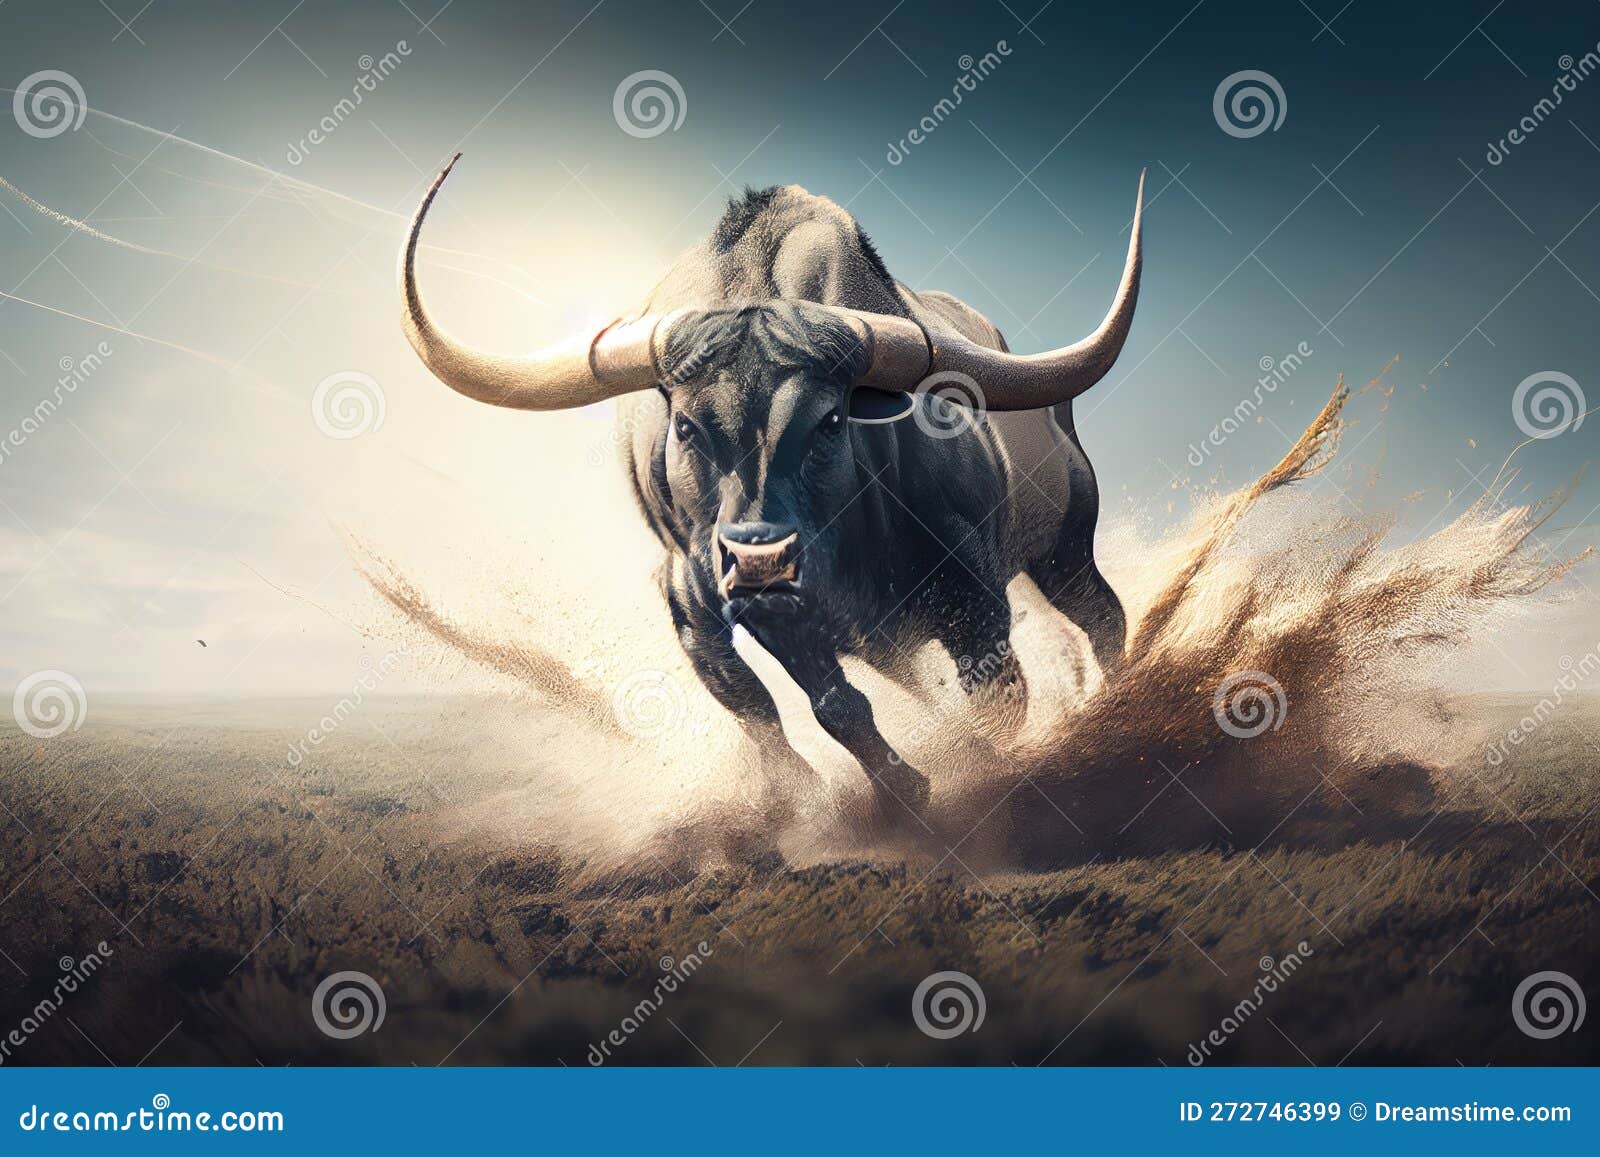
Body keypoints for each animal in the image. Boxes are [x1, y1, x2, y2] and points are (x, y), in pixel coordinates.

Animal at [399, 155, 1142, 822]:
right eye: (687, 426)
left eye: (831, 421)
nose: (760, 560)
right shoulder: (733, 611)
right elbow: (827, 708)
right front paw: (897, 793)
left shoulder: (975, 598)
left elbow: (996, 703)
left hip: (1064, 549)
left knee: (1102, 617)